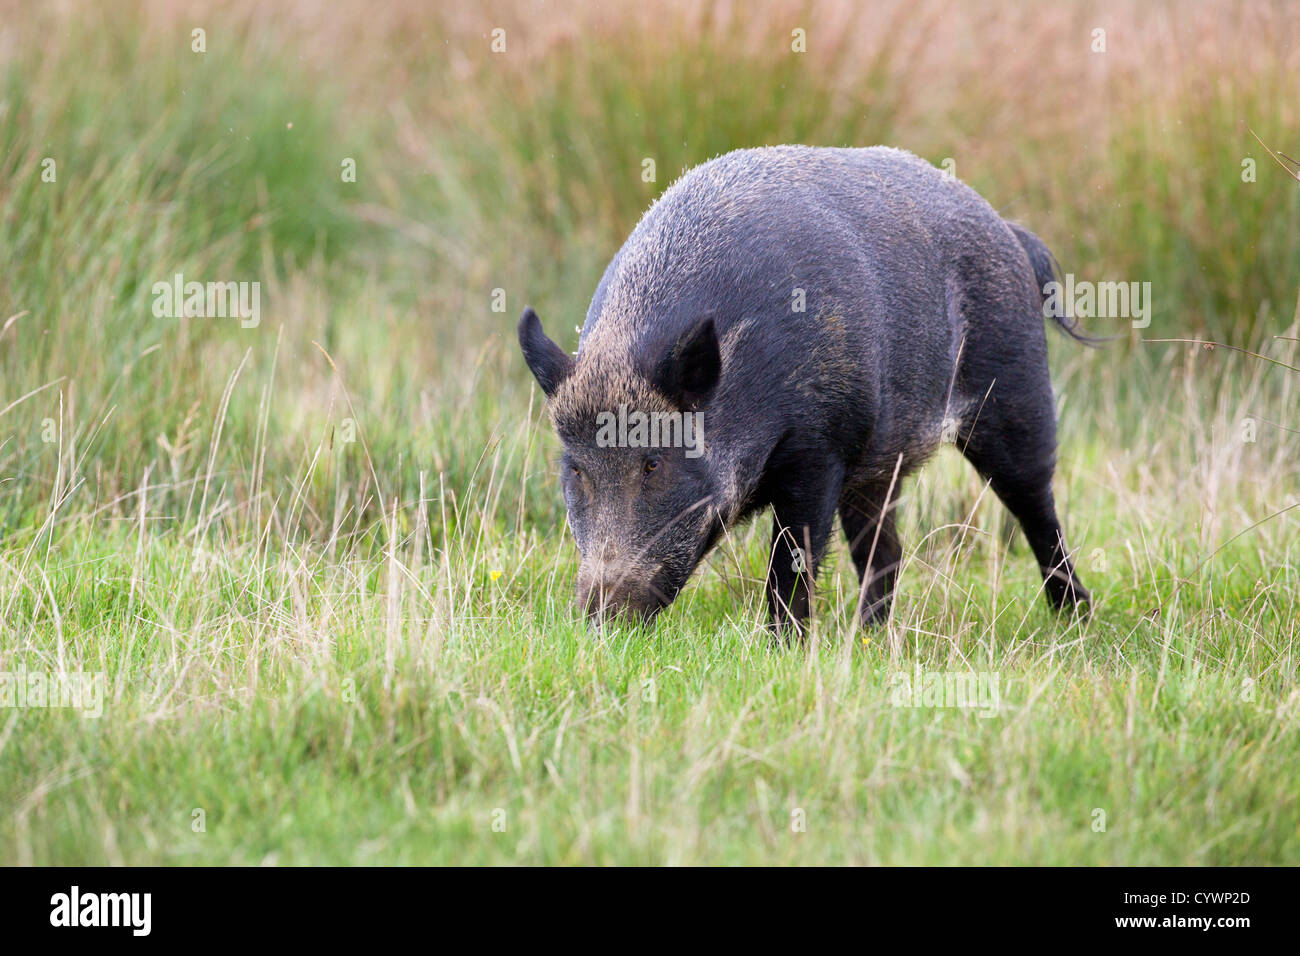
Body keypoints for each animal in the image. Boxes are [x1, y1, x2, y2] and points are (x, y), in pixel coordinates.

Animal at [519, 145, 1091, 634]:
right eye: (576, 469)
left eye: (653, 463)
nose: (601, 614)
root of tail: (1008, 231)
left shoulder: (821, 446)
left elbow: (792, 560)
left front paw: (782, 646)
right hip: (880, 464)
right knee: (886, 550)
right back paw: (867, 638)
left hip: (1016, 393)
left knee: (1036, 508)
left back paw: (1076, 620)